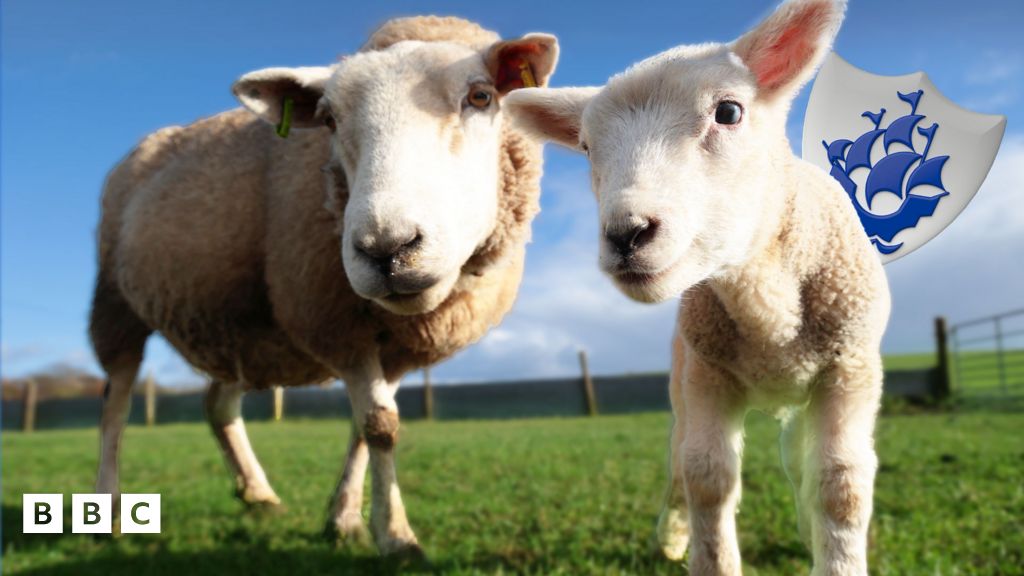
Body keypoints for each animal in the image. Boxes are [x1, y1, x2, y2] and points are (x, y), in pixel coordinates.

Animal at [90, 16, 559, 558]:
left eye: (481, 96)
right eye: (329, 120)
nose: (387, 249)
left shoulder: (392, 345)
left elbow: (366, 424)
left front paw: (344, 518)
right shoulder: (336, 324)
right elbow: (380, 426)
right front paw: (395, 536)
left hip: (238, 325)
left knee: (217, 404)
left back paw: (258, 494)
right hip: (116, 302)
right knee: (115, 406)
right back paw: (108, 510)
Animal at [505, 0, 889, 574]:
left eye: (728, 112)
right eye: (587, 148)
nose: (626, 234)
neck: (766, 307)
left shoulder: (851, 367)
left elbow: (841, 485)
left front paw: (835, 552)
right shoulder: (708, 374)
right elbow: (706, 476)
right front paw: (704, 551)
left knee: (800, 458)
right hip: (681, 378)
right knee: (678, 458)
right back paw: (670, 535)